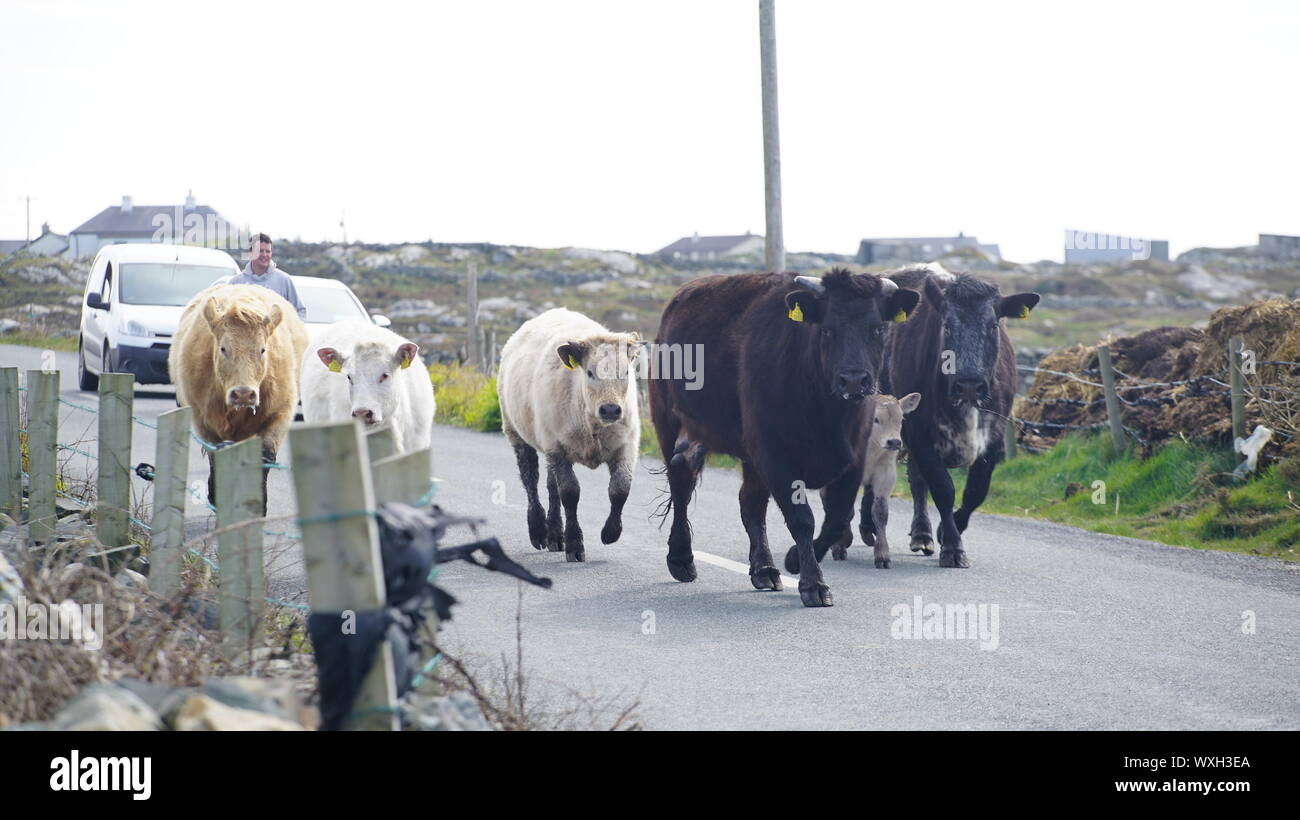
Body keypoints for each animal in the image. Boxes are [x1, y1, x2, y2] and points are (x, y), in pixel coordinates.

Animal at [170, 284, 310, 514]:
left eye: (262, 350)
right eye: (223, 348)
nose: (243, 393)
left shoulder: (279, 415)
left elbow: (265, 457)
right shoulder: (203, 423)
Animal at [497, 308, 641, 563]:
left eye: (625, 372)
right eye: (590, 372)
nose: (611, 409)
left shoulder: (625, 447)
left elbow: (620, 489)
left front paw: (610, 533)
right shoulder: (558, 449)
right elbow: (570, 494)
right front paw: (575, 545)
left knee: (550, 485)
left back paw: (555, 535)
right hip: (517, 433)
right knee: (530, 479)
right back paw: (538, 530)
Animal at [825, 392, 920, 568]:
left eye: (901, 419)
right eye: (875, 419)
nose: (894, 442)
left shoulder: (885, 474)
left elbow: (880, 512)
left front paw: (882, 555)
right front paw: (840, 544)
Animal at [876, 264, 1039, 567]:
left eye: (992, 325)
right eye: (947, 325)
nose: (970, 384)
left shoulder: (994, 437)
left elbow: (976, 491)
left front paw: (945, 531)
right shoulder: (919, 433)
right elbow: (943, 488)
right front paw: (953, 547)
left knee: (917, 480)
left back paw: (923, 534)